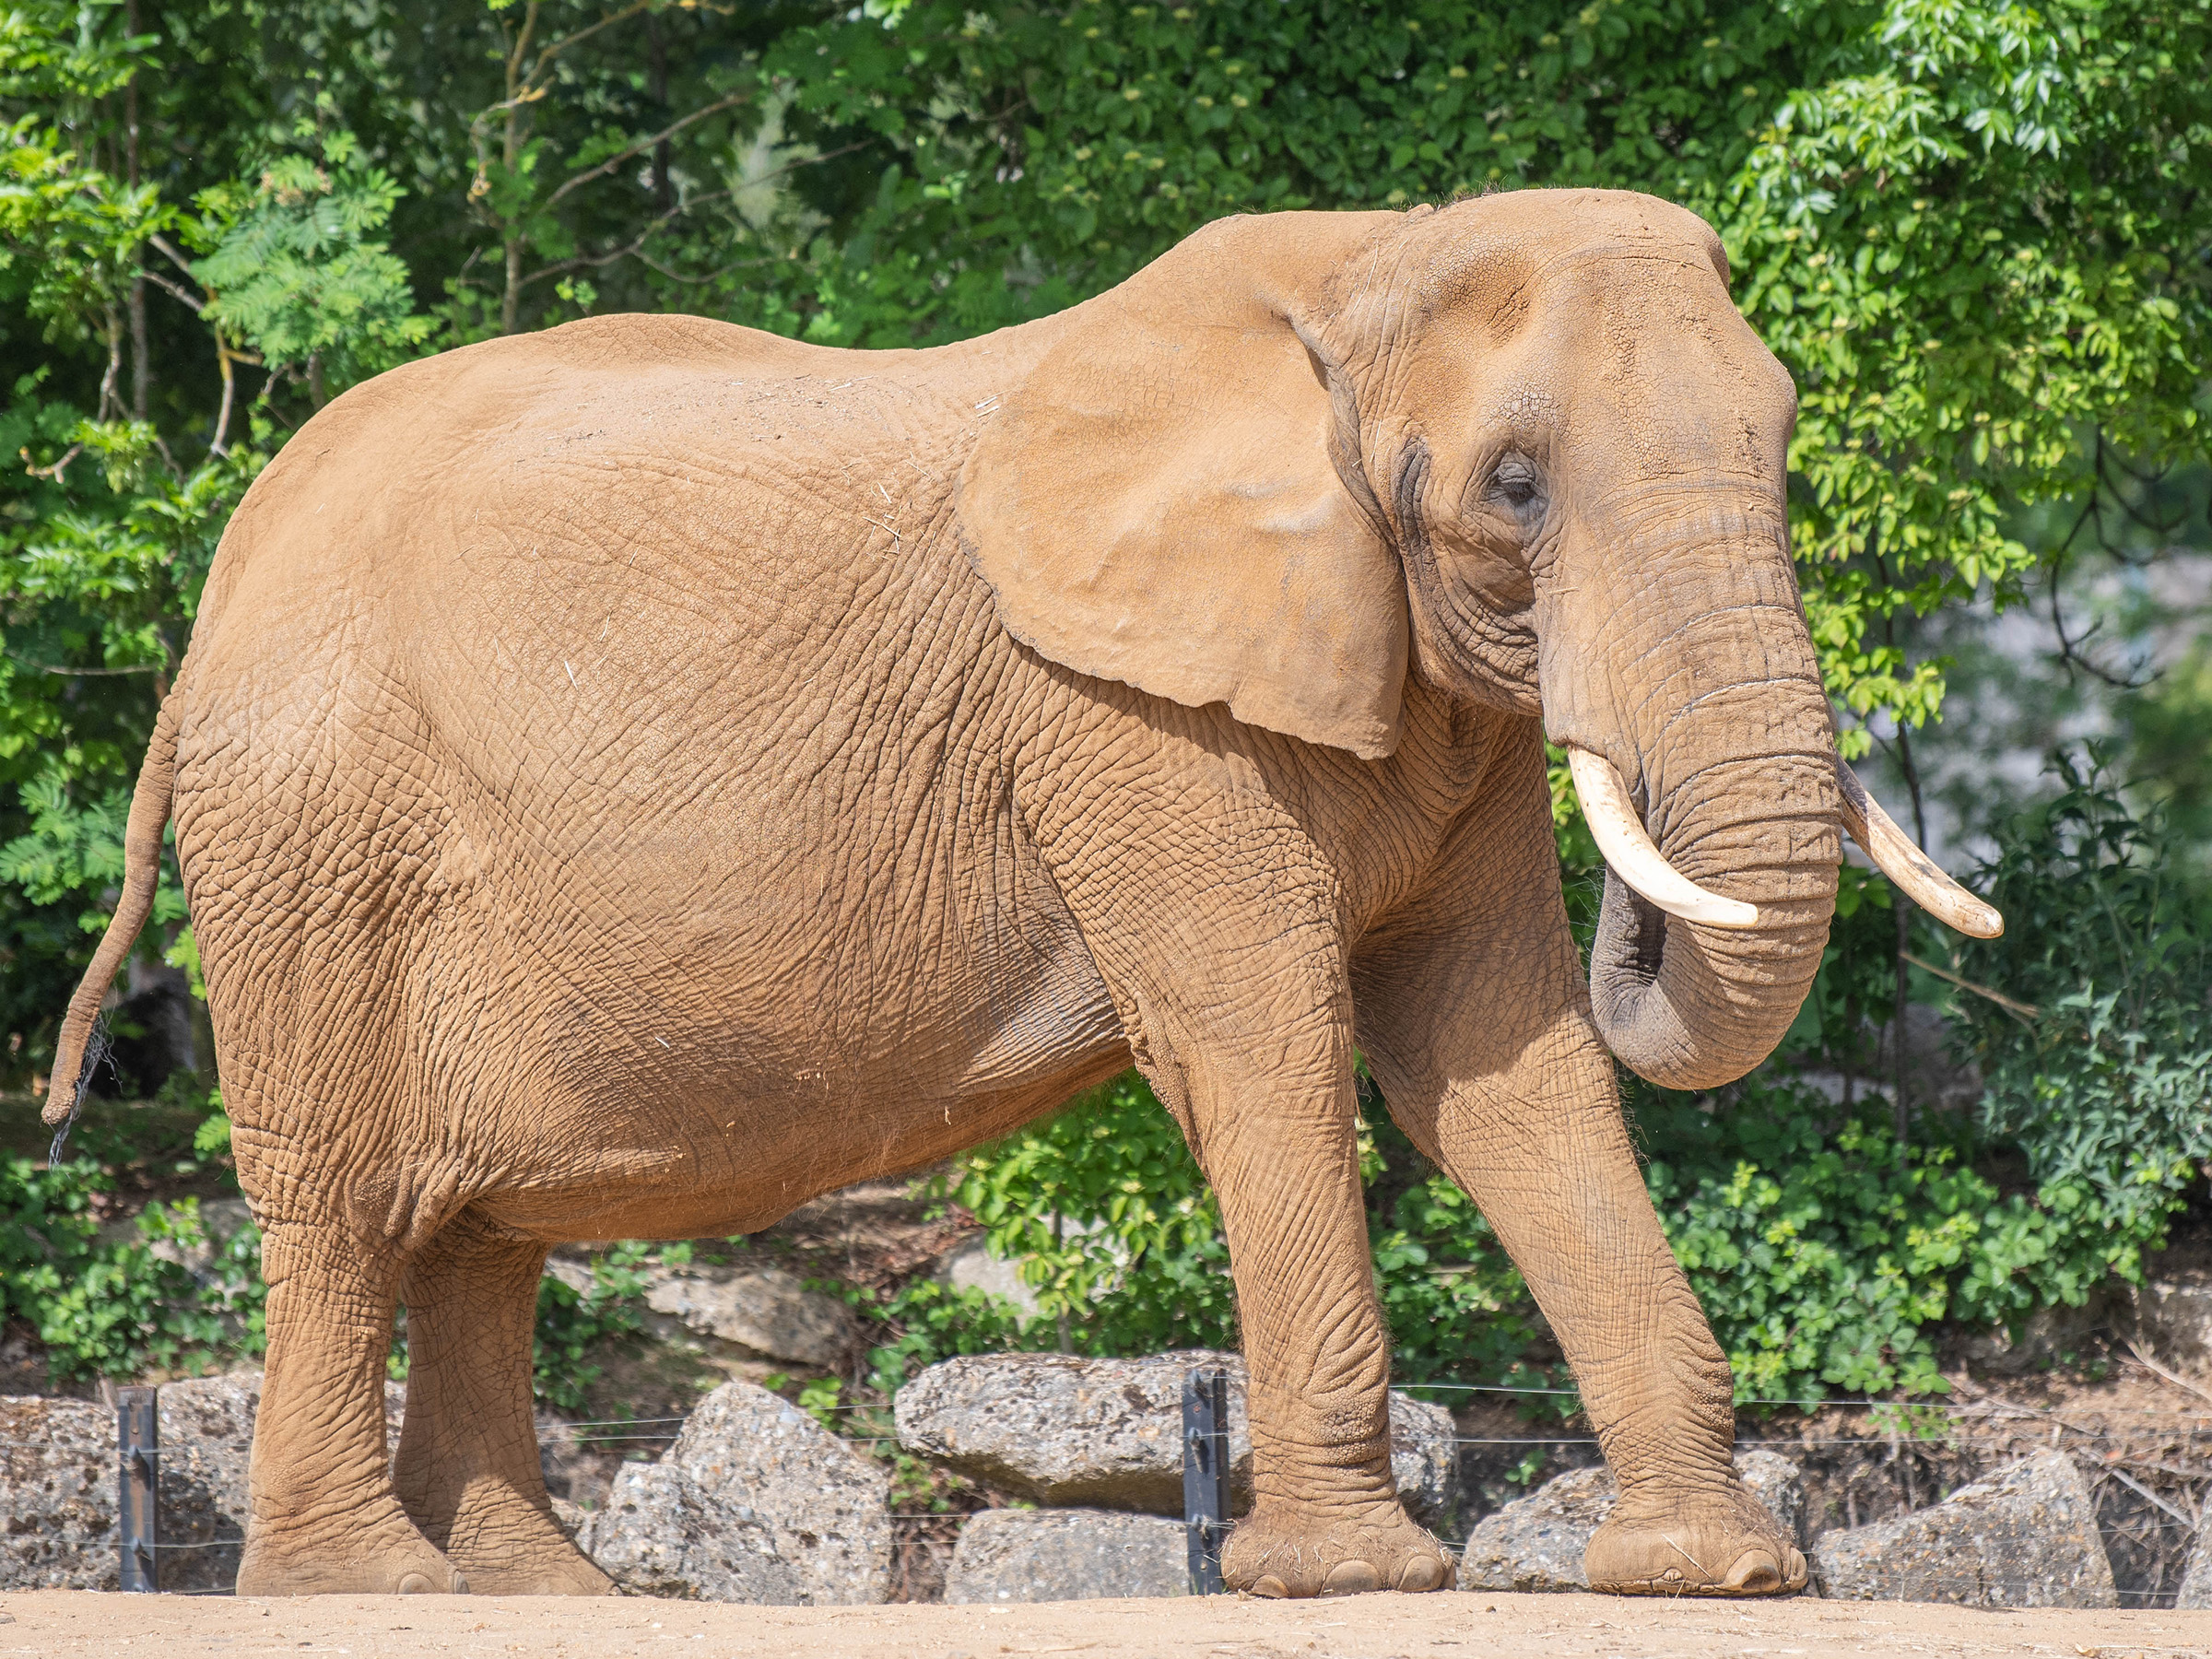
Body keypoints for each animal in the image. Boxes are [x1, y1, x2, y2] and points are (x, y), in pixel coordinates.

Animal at [47, 187, 1997, 1602]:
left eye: (1784, 447)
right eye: (1516, 488)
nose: (1650, 899)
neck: (1361, 266)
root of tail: (222, 581)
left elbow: (1499, 1063)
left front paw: (1712, 1580)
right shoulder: (1123, 716)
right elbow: (1269, 1040)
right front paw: (1349, 1584)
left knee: (478, 1230)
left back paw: (542, 1602)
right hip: (308, 844)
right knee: (345, 1208)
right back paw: (372, 1589)